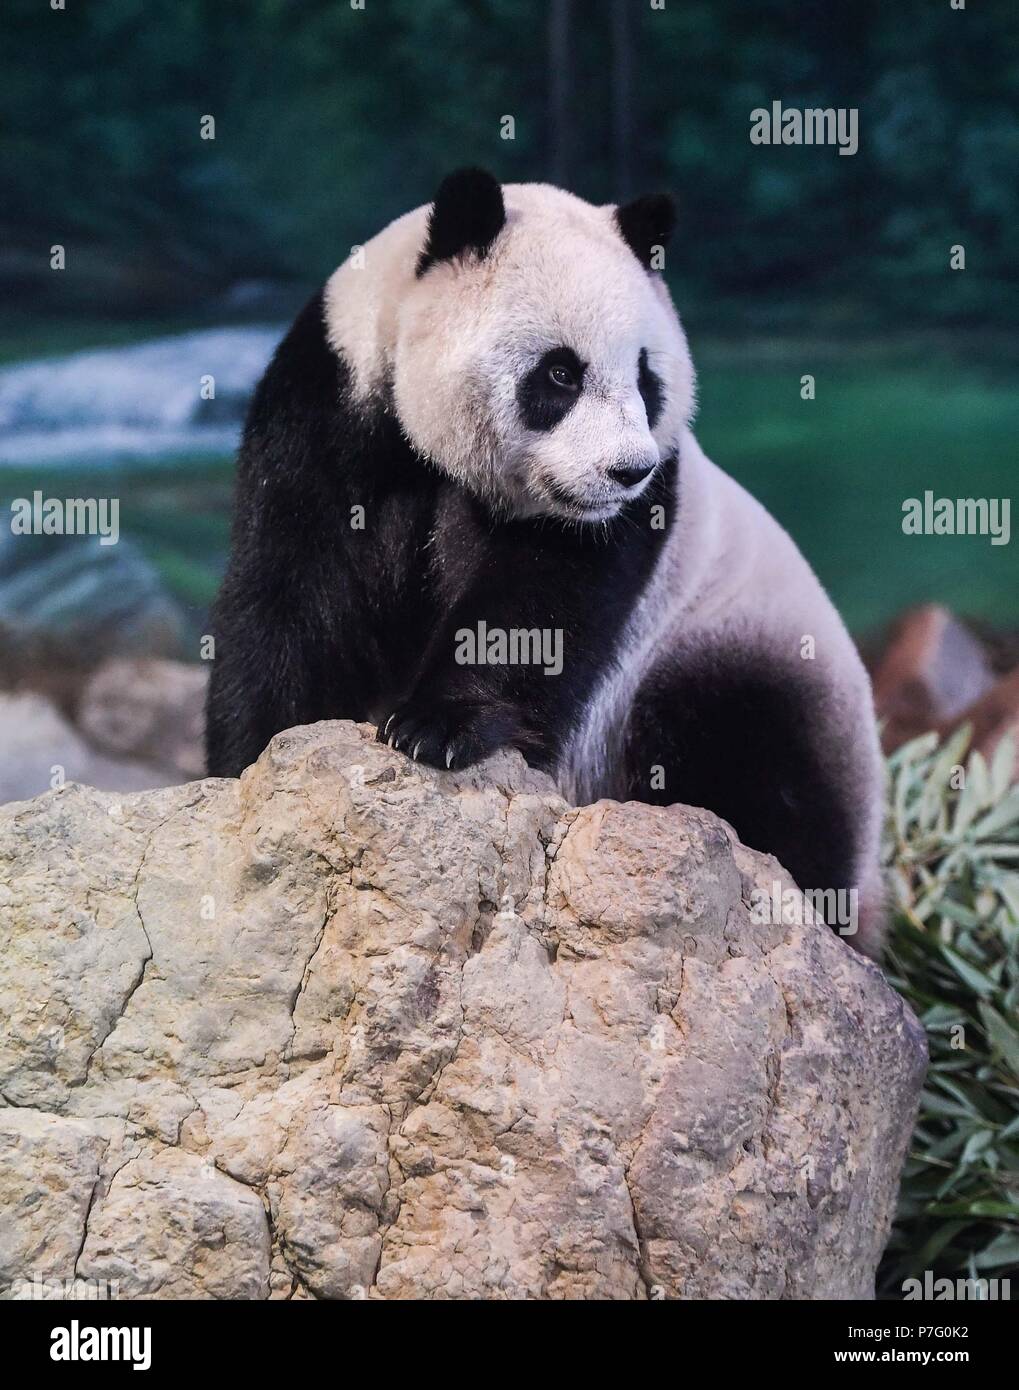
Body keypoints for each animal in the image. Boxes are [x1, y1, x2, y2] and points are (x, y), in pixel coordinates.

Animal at [206, 167, 886, 955]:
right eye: (560, 374)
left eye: (647, 378)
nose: (626, 470)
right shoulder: (327, 412)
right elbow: (292, 594)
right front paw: (252, 760)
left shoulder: (636, 519)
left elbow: (538, 607)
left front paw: (438, 727)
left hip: (736, 650)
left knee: (758, 771)